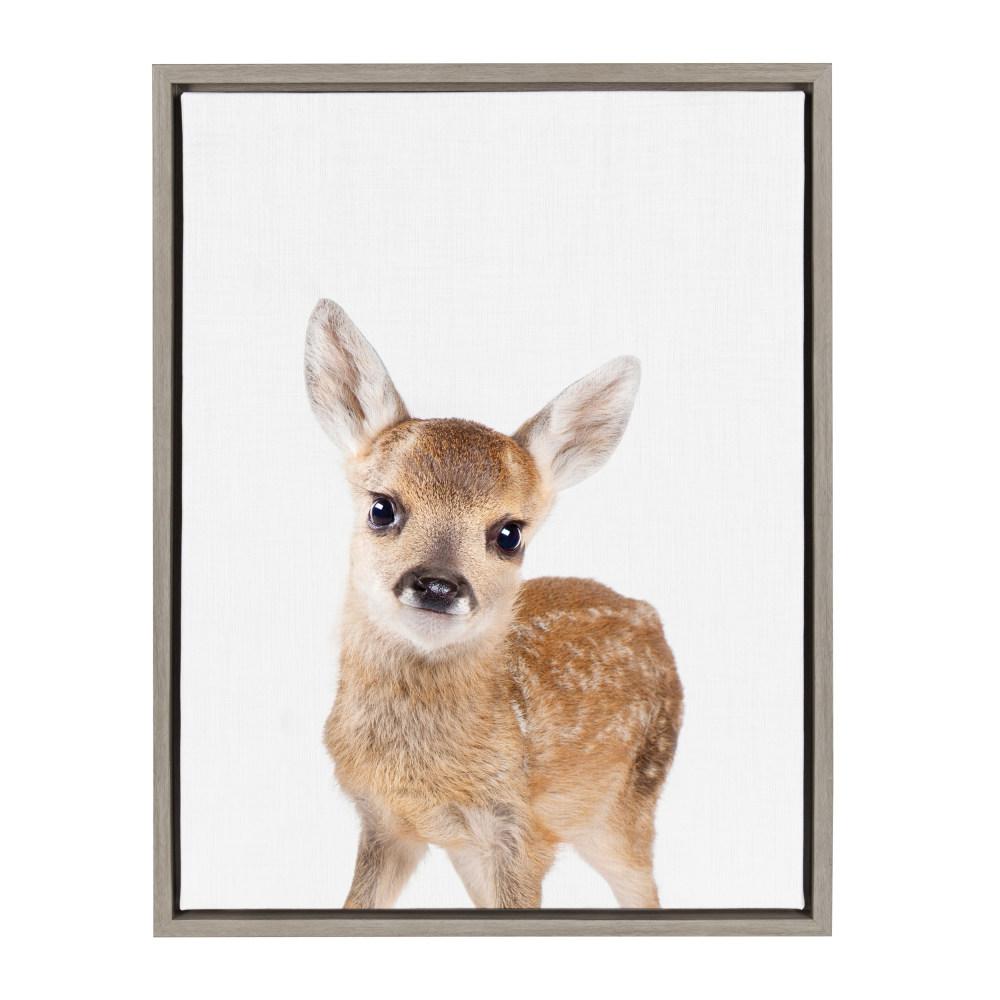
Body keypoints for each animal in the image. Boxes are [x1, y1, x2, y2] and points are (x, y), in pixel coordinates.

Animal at [305, 298, 683, 909]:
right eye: (381, 507)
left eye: (510, 534)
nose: (438, 584)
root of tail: (651, 615)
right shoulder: (385, 823)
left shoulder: (521, 832)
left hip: (629, 803)